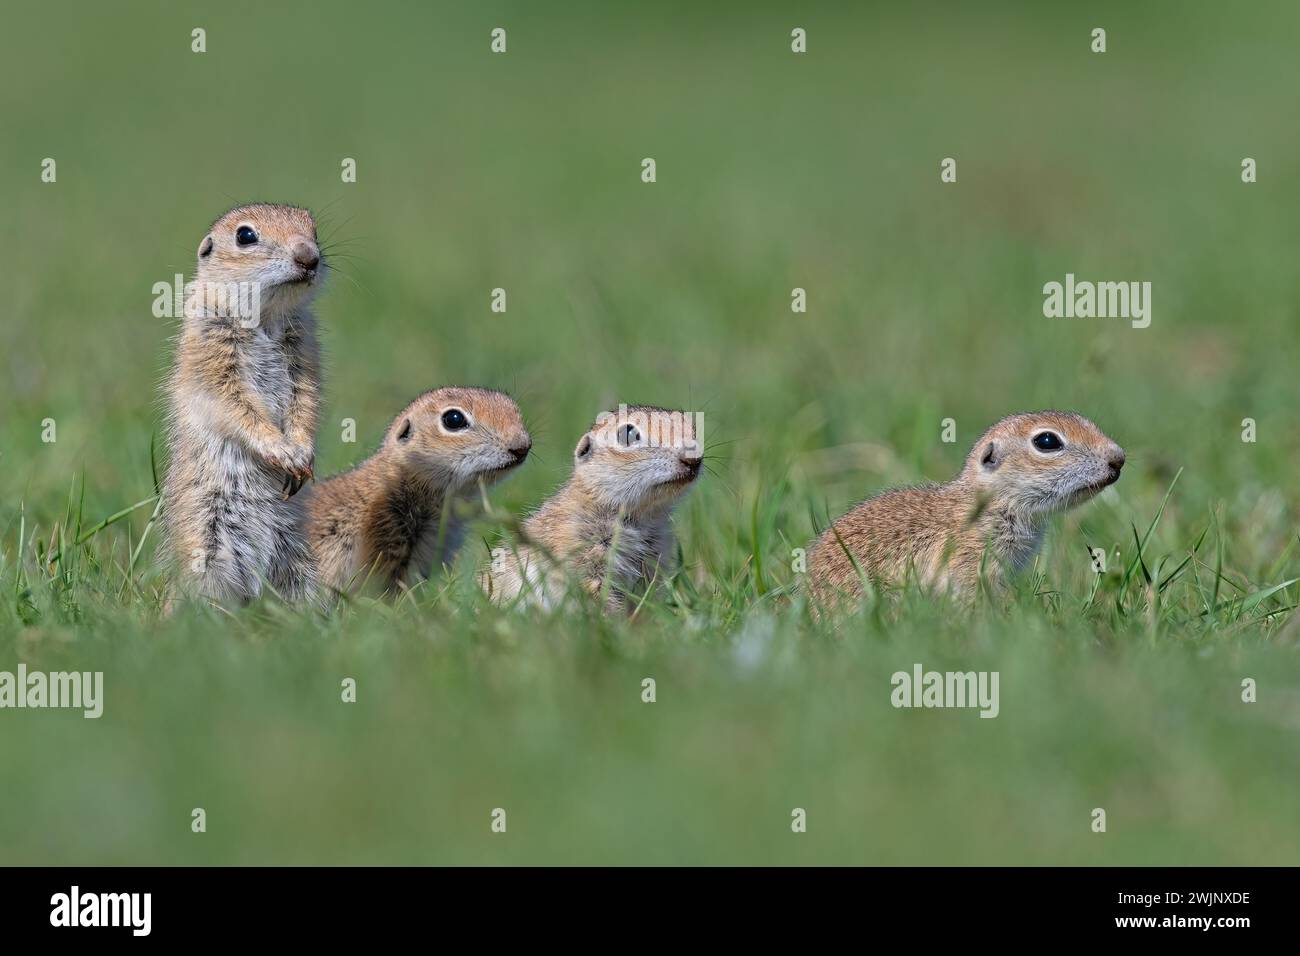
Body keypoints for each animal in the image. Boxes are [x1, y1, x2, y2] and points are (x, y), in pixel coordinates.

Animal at [161, 203, 324, 607]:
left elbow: (305, 401)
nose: (309, 258)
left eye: (314, 230)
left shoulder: (304, 353)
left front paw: (302, 452)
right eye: (245, 236)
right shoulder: (212, 350)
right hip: (207, 543)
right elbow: (234, 406)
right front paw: (282, 451)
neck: (264, 318)